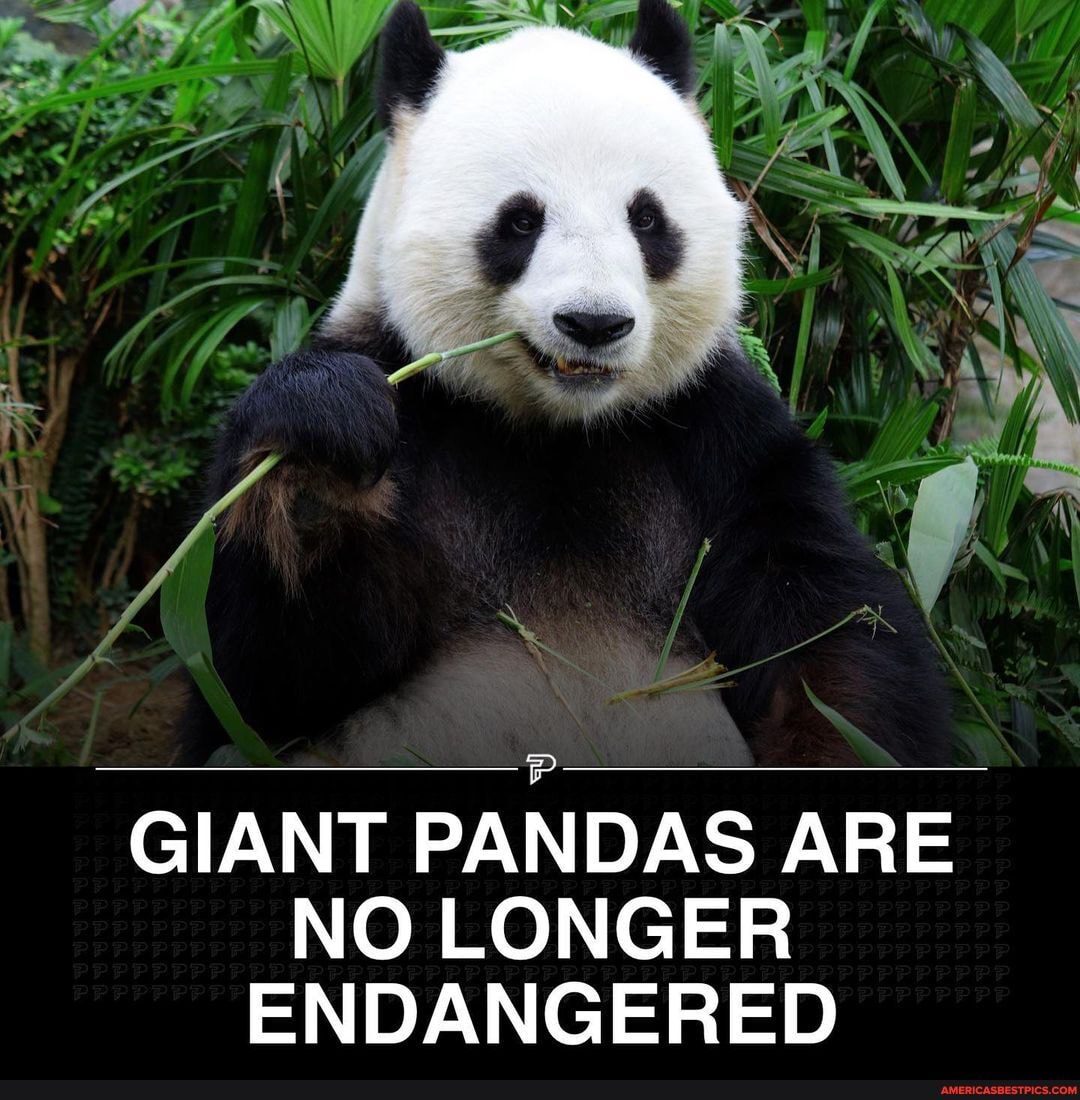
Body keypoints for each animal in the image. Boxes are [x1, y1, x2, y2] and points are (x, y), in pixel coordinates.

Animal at [180, 0, 951, 767]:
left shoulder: (718, 433)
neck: (558, 431)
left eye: (647, 217)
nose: (594, 322)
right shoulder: (414, 402)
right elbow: (261, 682)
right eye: (521, 220)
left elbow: (829, 633)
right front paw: (318, 458)